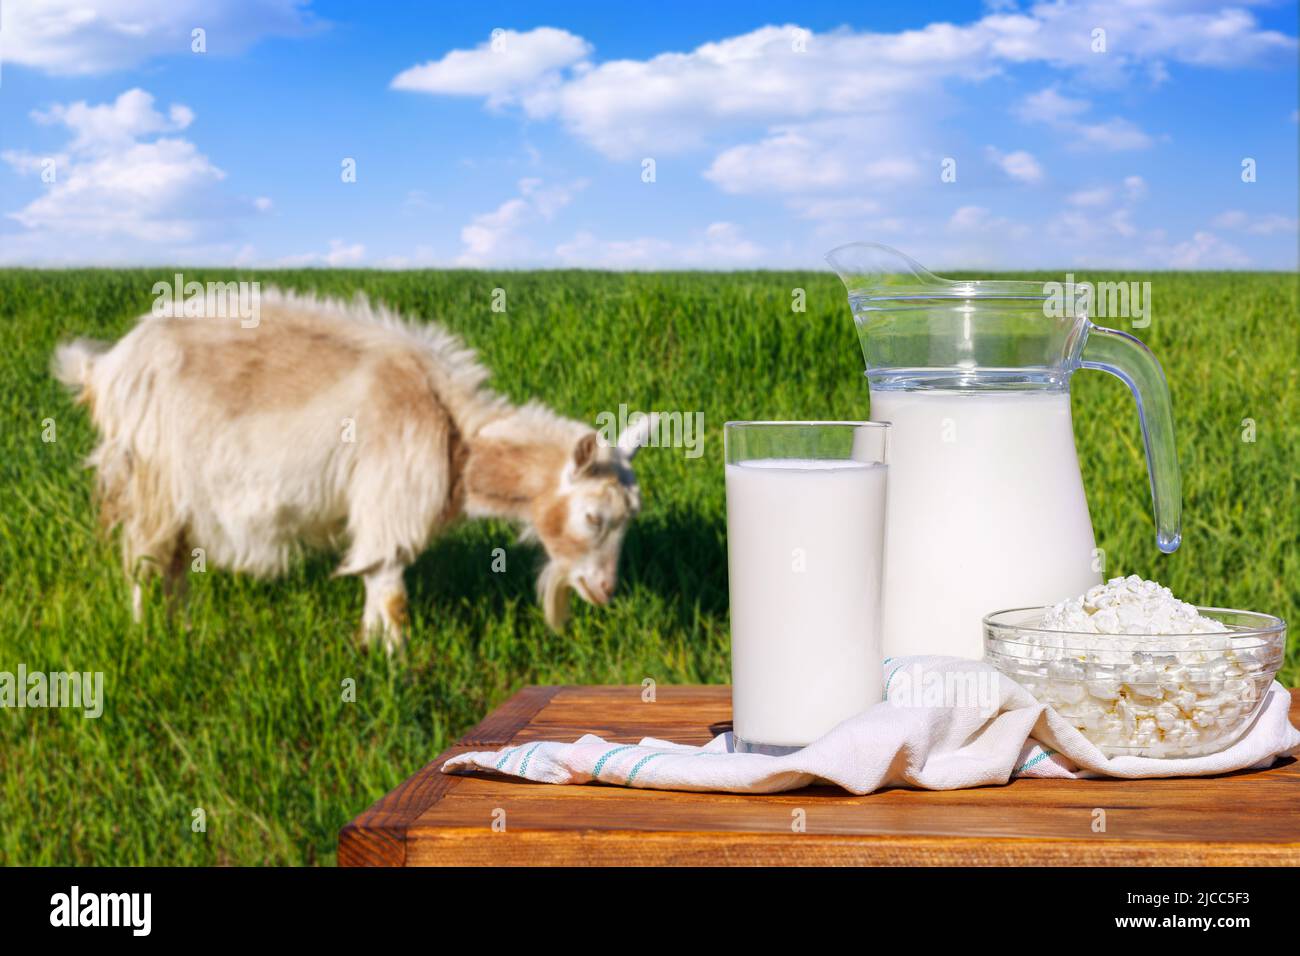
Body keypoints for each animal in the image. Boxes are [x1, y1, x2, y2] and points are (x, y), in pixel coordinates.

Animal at [52, 287, 654, 653]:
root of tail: (104, 368)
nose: (606, 591)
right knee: (144, 561)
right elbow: (390, 591)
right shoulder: (389, 498)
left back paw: (181, 628)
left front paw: (372, 649)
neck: (456, 435)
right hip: (149, 477)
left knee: (172, 561)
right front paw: (395, 658)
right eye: (593, 517)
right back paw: (148, 634)